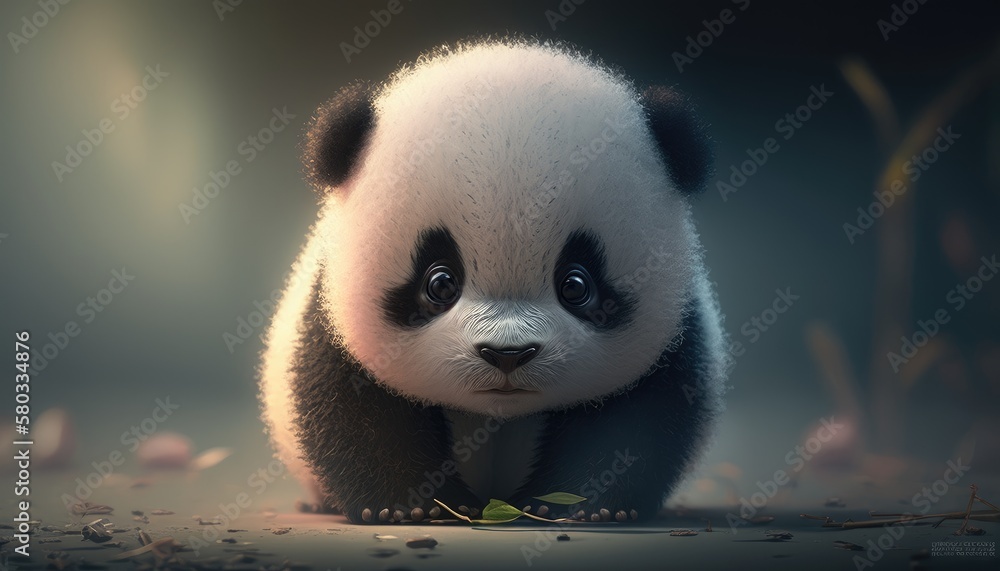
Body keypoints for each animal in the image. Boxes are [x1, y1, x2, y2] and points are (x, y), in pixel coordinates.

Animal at [259, 40, 728, 524]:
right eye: (440, 284)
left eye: (576, 286)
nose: (507, 354)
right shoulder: (332, 315)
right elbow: (351, 405)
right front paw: (414, 506)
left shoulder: (673, 327)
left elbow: (642, 412)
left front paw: (576, 505)